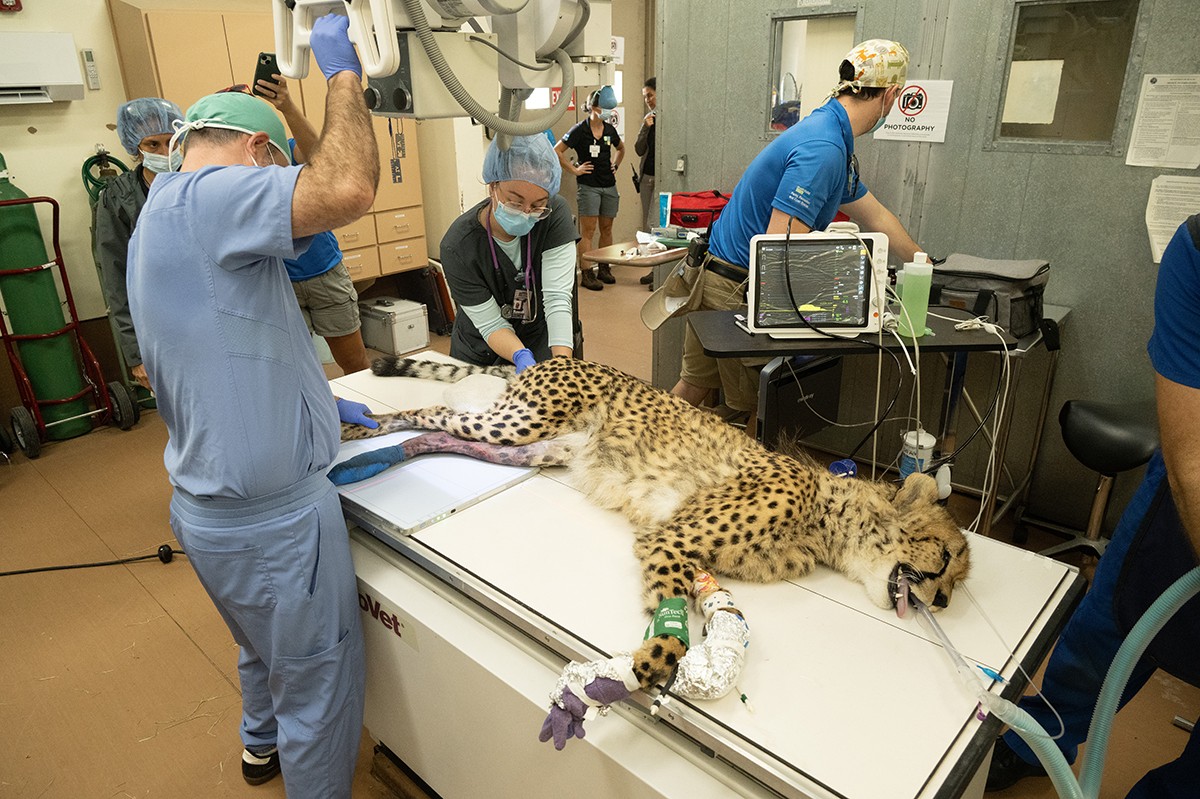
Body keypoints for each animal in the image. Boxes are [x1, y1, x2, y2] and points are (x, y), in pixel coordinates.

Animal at [339, 355, 971, 703]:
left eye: (953, 584)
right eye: (945, 561)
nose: (941, 602)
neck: (829, 516)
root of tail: (555, 359)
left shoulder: (695, 554)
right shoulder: (670, 537)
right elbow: (673, 631)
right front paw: (642, 668)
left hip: (534, 448)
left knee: (440, 433)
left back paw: (374, 452)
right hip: (516, 422)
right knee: (431, 413)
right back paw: (354, 428)